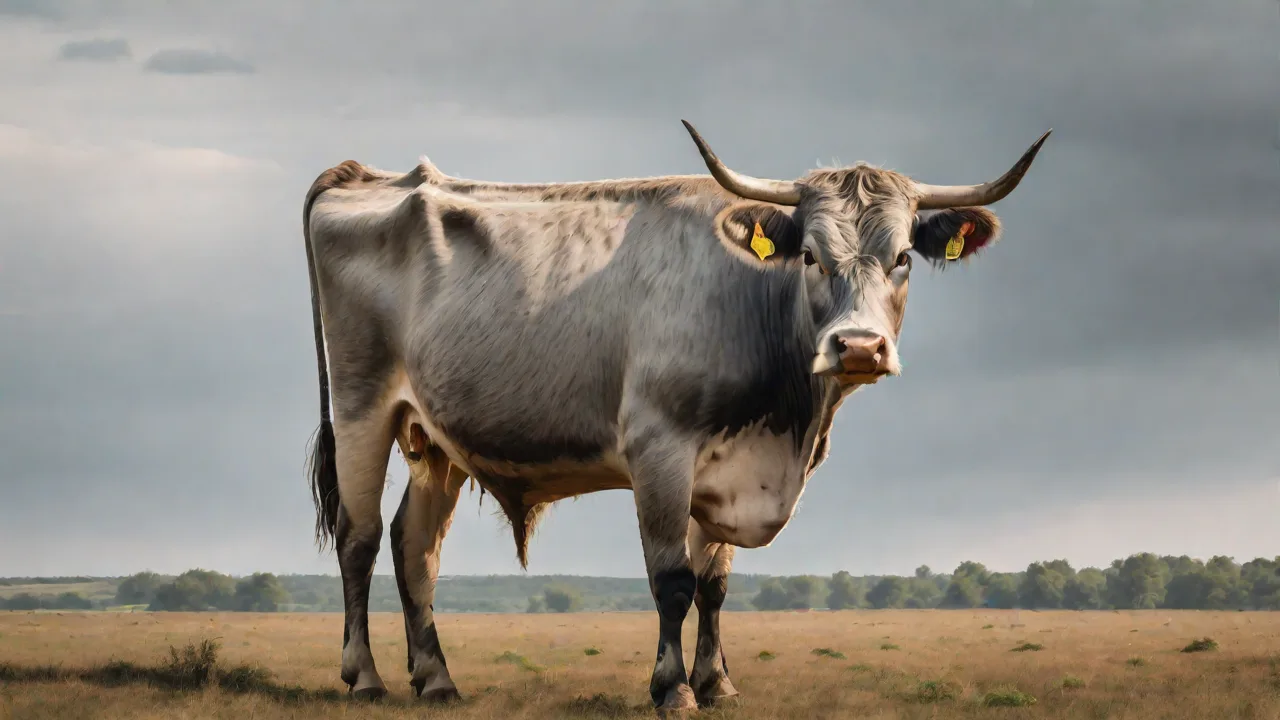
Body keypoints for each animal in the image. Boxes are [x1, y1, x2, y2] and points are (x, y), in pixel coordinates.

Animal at [300, 120, 1050, 712]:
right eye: (810, 255)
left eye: (902, 259)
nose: (860, 346)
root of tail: (368, 177)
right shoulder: (661, 449)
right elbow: (672, 580)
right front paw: (672, 688)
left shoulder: (726, 470)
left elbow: (714, 585)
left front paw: (718, 683)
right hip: (362, 408)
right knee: (360, 538)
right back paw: (365, 678)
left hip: (435, 439)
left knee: (415, 547)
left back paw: (436, 680)